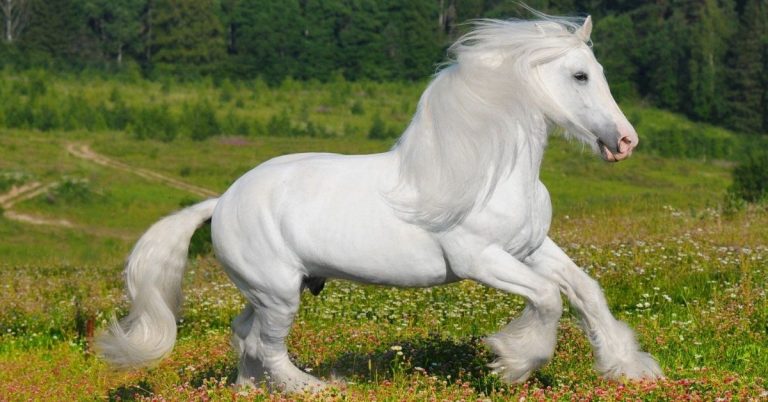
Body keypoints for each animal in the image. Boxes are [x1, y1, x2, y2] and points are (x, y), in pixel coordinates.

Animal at [96, 12, 663, 392]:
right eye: (580, 76)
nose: (625, 142)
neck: (488, 171)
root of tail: (220, 202)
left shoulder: (529, 248)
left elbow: (585, 291)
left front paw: (630, 368)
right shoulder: (480, 260)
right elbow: (547, 298)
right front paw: (511, 361)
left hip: (266, 291)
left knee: (243, 335)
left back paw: (250, 389)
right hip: (278, 293)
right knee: (266, 344)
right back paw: (315, 388)